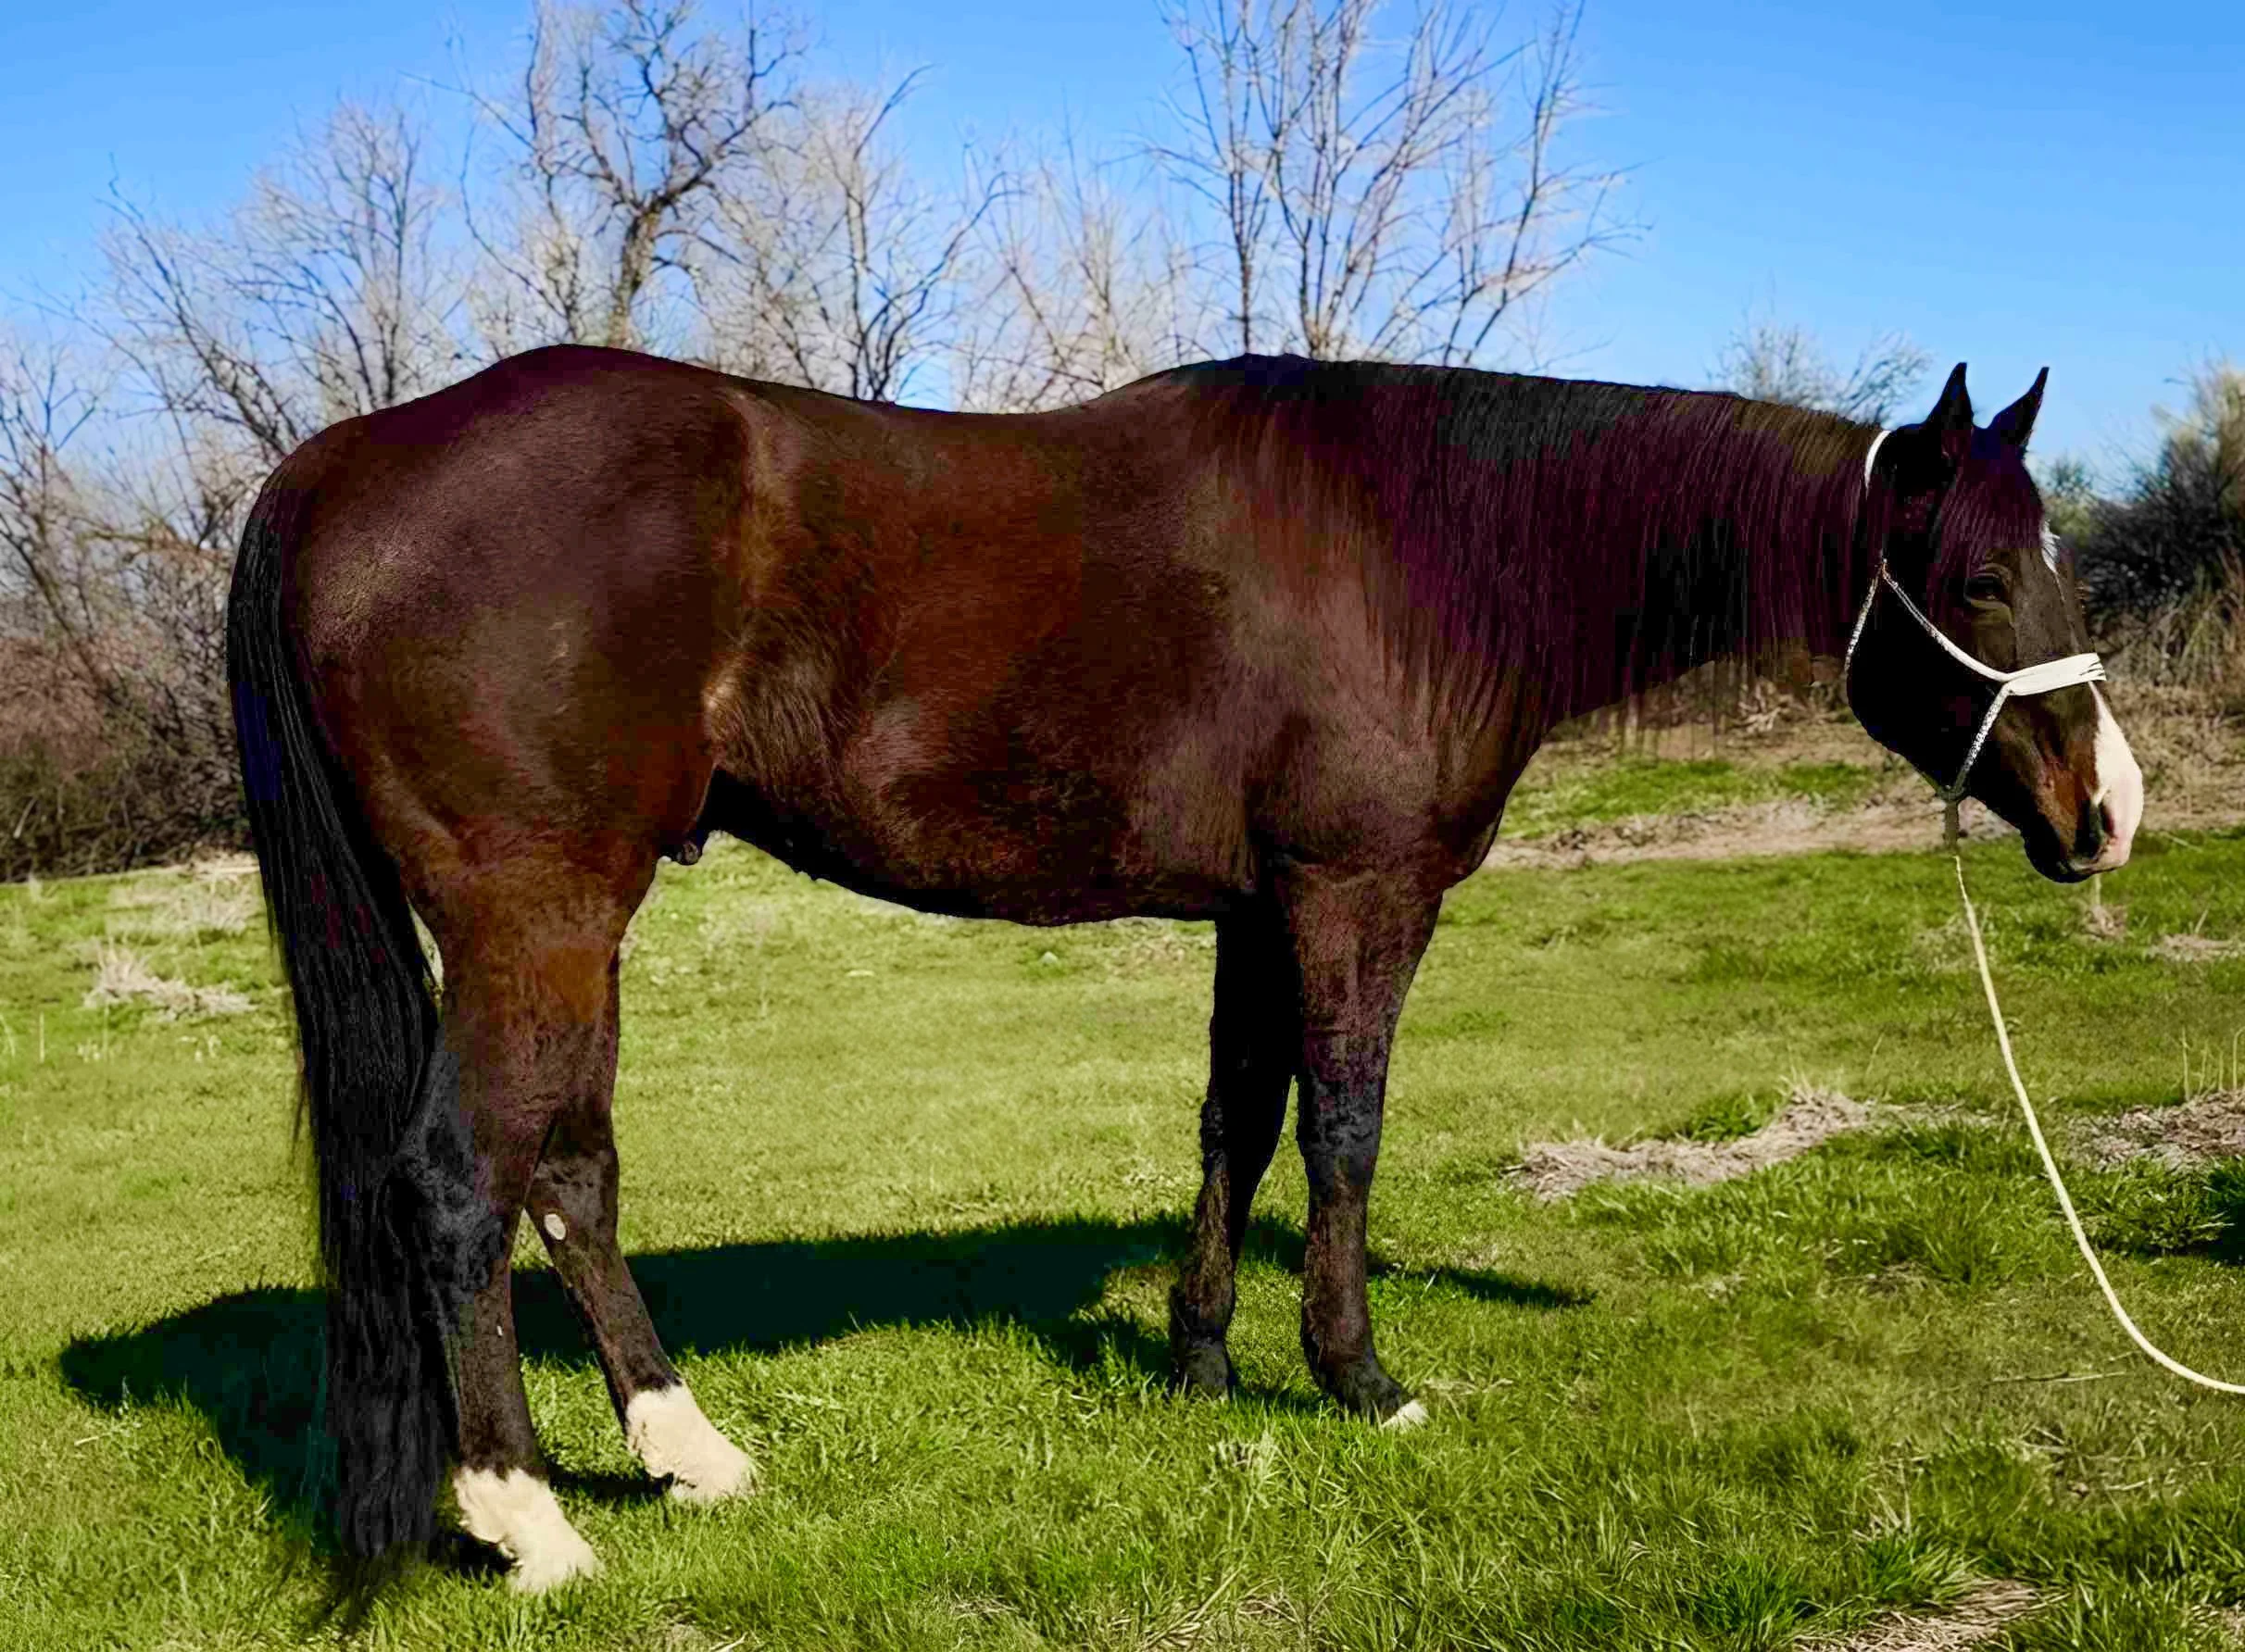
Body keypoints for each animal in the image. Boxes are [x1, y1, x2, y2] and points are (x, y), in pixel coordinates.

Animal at [227, 346, 2142, 1589]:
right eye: (1979, 573)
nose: (2106, 808)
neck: (1424, 547)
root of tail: (345, 457)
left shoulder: (1254, 906)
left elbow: (1238, 1118)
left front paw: (1202, 1357)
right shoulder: (1356, 894)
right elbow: (1345, 1127)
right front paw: (1359, 1375)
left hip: (561, 929)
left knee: (569, 1171)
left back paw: (690, 1454)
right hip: (532, 912)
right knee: (459, 1178)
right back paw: (529, 1518)